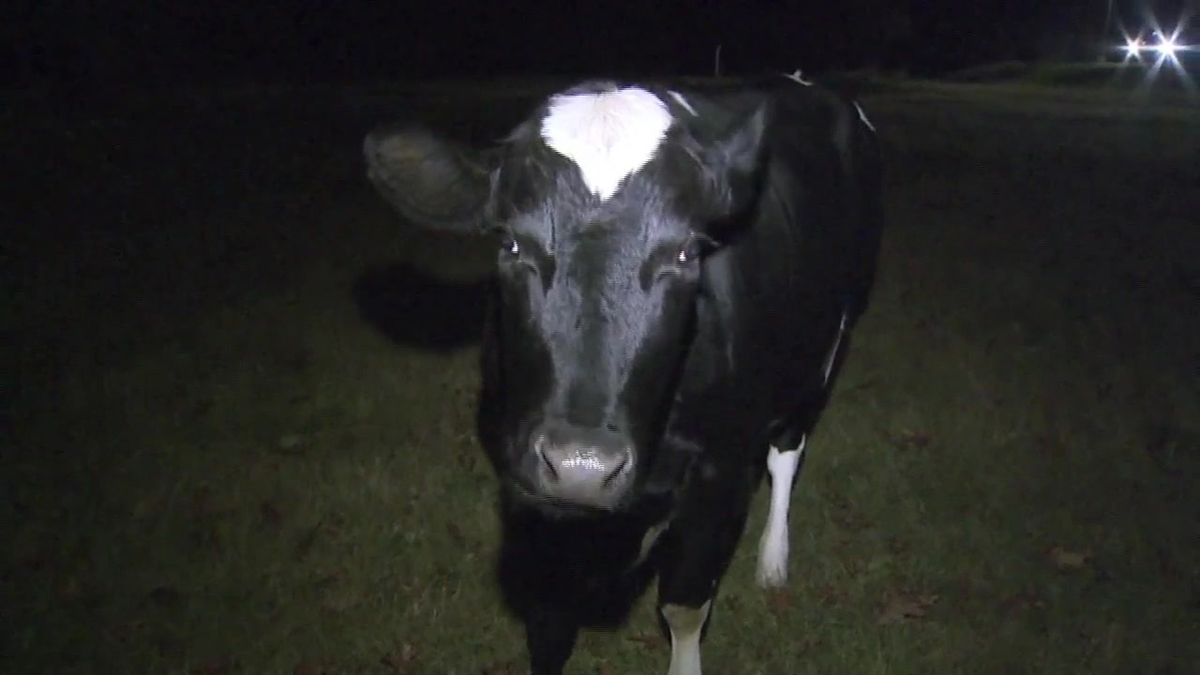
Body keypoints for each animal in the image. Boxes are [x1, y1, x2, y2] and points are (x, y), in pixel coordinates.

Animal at [363, 71, 883, 675]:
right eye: (511, 243)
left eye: (686, 253)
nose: (583, 466)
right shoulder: (527, 479)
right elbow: (548, 621)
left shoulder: (722, 470)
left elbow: (684, 606)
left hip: (832, 338)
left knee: (789, 448)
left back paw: (774, 558)